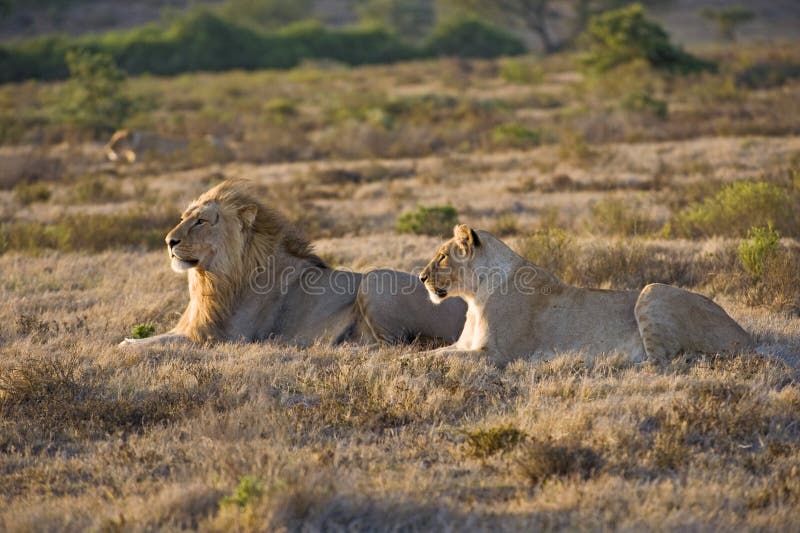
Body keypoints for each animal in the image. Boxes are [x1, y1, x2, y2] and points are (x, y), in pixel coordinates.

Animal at [119, 179, 466, 348]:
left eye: (202, 221)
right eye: (183, 218)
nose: (169, 241)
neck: (212, 279)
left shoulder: (221, 338)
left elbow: (147, 345)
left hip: (373, 280)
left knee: (397, 346)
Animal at [418, 224, 752, 365]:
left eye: (442, 256)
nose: (421, 278)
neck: (474, 297)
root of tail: (746, 336)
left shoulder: (496, 355)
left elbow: (440, 359)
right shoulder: (464, 345)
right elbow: (427, 354)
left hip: (653, 290)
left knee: (665, 361)